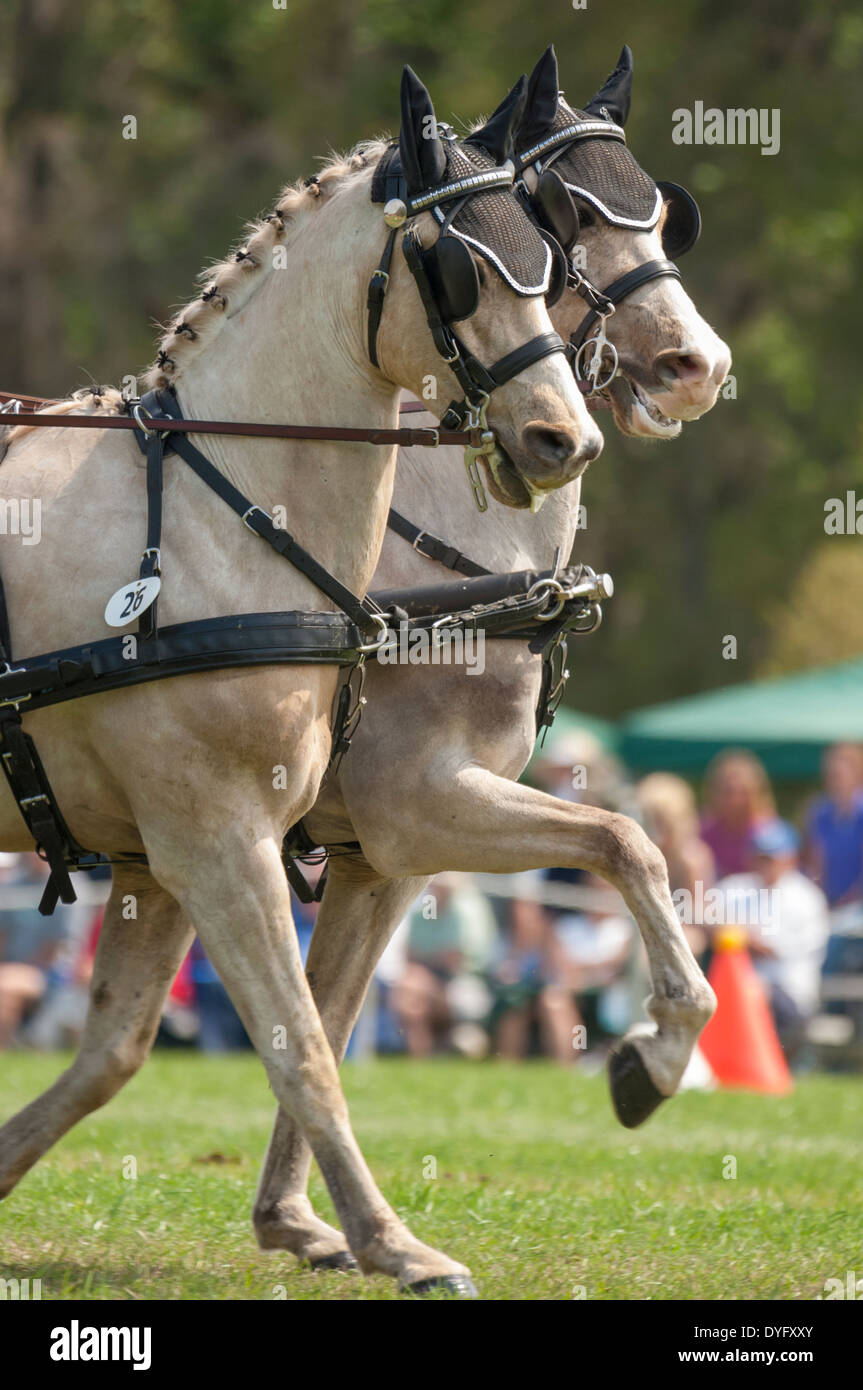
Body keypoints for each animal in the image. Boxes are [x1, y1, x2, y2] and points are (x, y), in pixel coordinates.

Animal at [0, 64, 601, 1295]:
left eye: (551, 253)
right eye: (457, 264)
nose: (562, 437)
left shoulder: (175, 852)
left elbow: (125, 1047)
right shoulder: (230, 836)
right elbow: (305, 1044)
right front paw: (394, 1242)